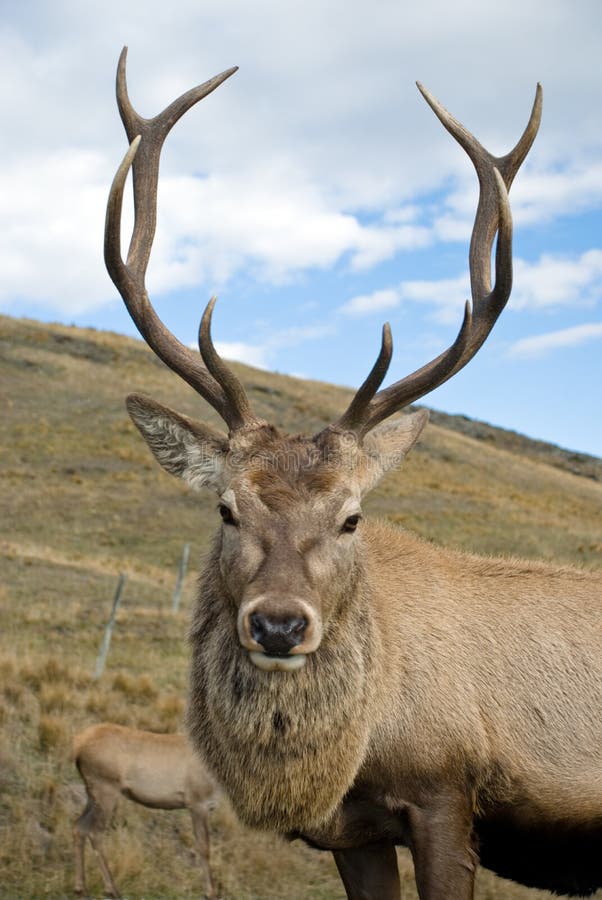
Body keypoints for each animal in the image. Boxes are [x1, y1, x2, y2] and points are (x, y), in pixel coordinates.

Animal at [72, 723, 219, 899]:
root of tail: (78, 744)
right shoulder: (197, 802)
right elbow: (204, 847)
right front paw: (210, 893)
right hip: (106, 789)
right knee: (95, 832)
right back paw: (112, 890)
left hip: (92, 794)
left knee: (79, 827)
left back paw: (81, 889)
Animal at [104, 47, 602, 900]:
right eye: (227, 508)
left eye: (351, 516)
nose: (278, 624)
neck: (361, 750)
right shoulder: (351, 831)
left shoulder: (446, 795)